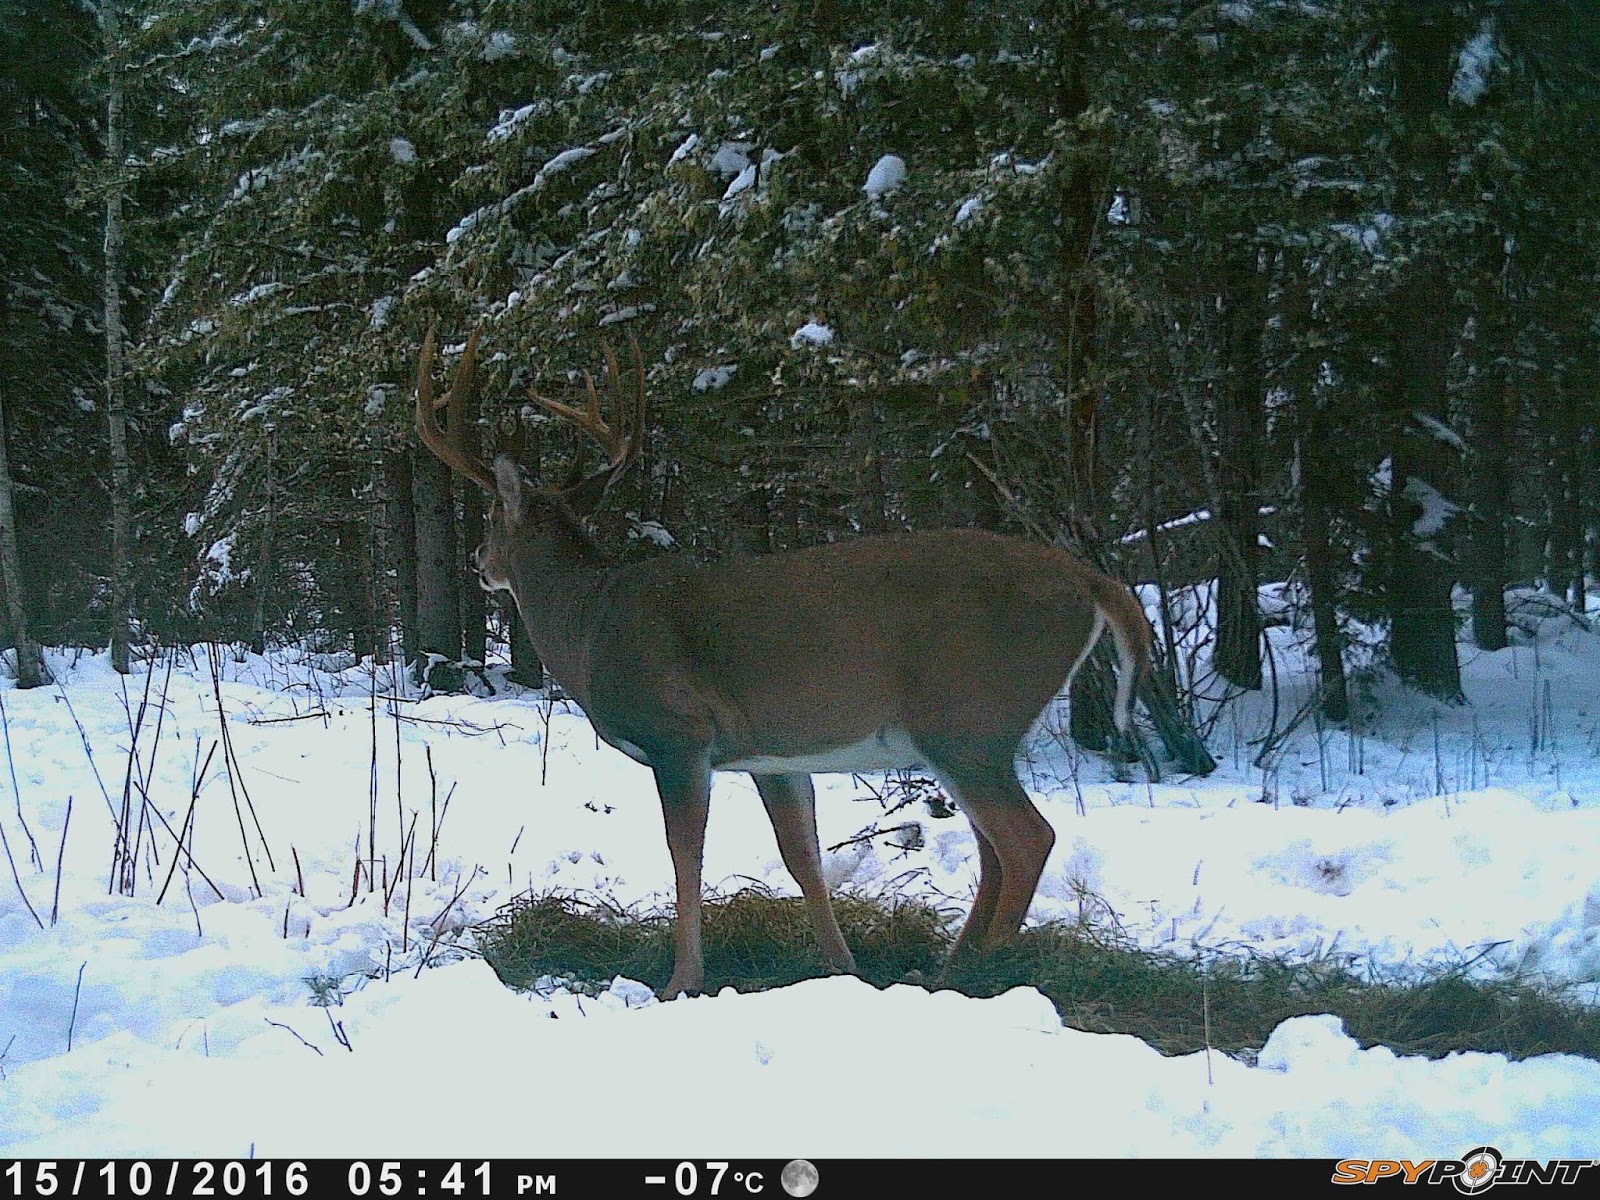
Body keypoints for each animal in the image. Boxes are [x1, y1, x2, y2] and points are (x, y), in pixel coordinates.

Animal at [415, 322, 1153, 999]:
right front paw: (842, 966)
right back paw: (945, 968)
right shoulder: (773, 755)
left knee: (1027, 839)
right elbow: (802, 858)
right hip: (974, 734)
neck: (589, 622)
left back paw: (986, 974)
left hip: (970, 715)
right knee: (994, 850)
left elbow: (685, 853)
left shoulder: (680, 733)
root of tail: (1091, 581)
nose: (478, 562)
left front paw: (681, 980)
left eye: (491, 517)